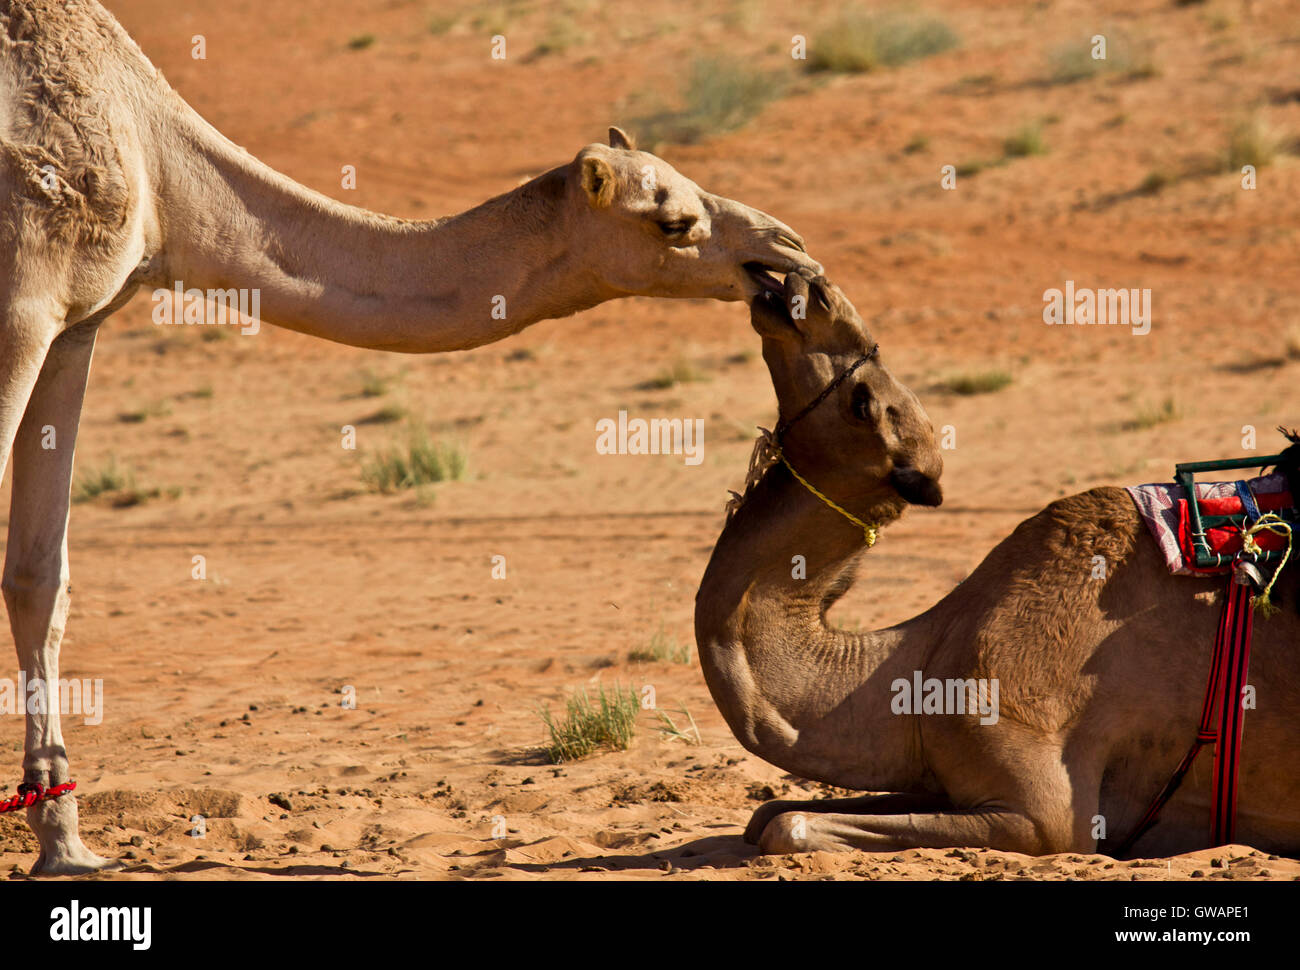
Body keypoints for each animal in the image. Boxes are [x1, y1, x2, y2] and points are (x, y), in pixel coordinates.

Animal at [0, 0, 819, 874]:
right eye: (675, 220)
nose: (790, 250)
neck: (158, 168)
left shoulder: (78, 324)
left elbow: (40, 577)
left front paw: (66, 846)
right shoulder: (23, 310)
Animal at [698, 273, 1300, 859]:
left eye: (860, 404)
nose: (811, 286)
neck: (922, 664)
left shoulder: (1042, 814)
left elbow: (786, 825)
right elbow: (768, 812)